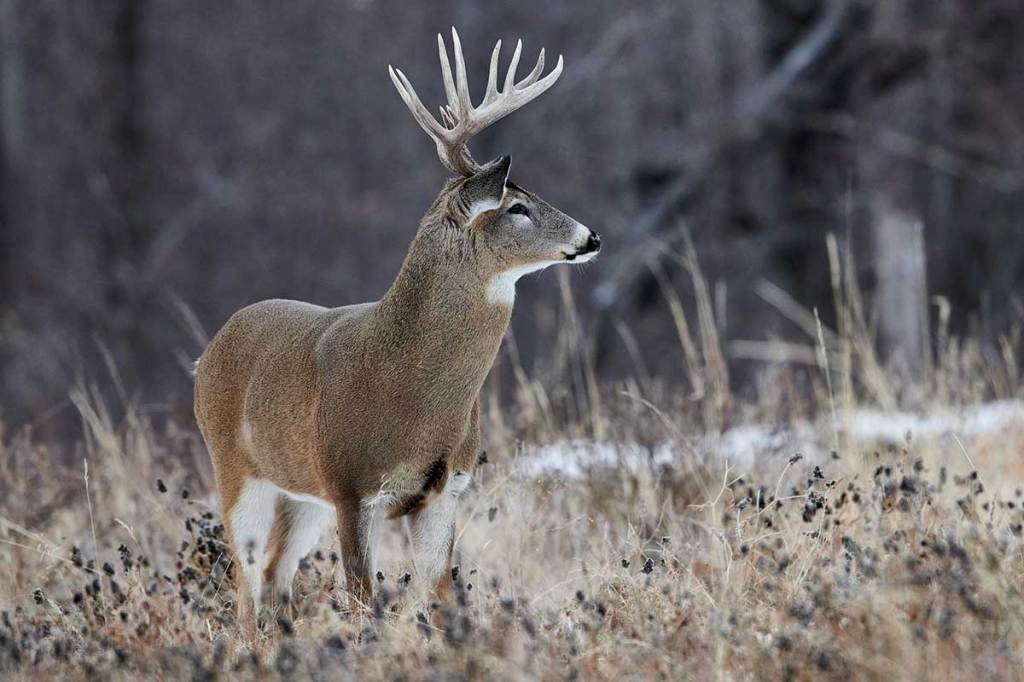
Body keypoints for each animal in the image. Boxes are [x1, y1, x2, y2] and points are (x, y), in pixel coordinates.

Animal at [193, 28, 600, 633]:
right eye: (517, 206)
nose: (591, 236)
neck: (410, 392)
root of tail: (208, 352)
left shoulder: (446, 490)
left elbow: (443, 595)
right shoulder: (351, 485)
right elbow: (362, 601)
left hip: (302, 494)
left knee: (274, 572)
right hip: (237, 469)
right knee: (244, 583)